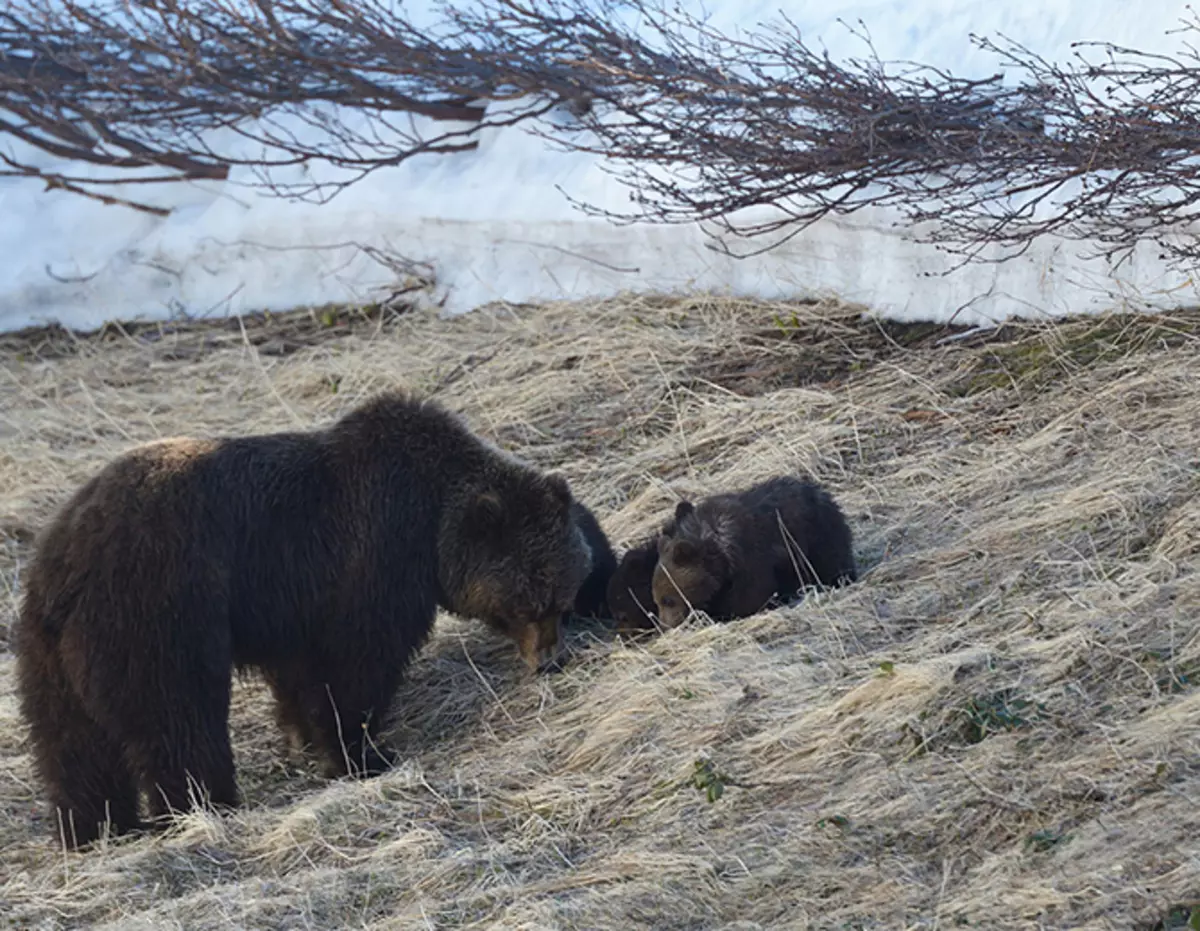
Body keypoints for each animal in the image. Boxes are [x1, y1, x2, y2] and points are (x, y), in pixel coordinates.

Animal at [9, 388, 590, 849]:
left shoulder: (290, 608)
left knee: (73, 747)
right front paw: (362, 752)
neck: (431, 520)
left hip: (47, 654)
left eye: (564, 598)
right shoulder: (367, 560)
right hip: (158, 611)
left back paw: (96, 828)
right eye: (530, 602)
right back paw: (207, 804)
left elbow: (297, 674)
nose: (551, 659)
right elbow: (355, 663)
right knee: (178, 719)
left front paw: (303, 737)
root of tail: (64, 562)